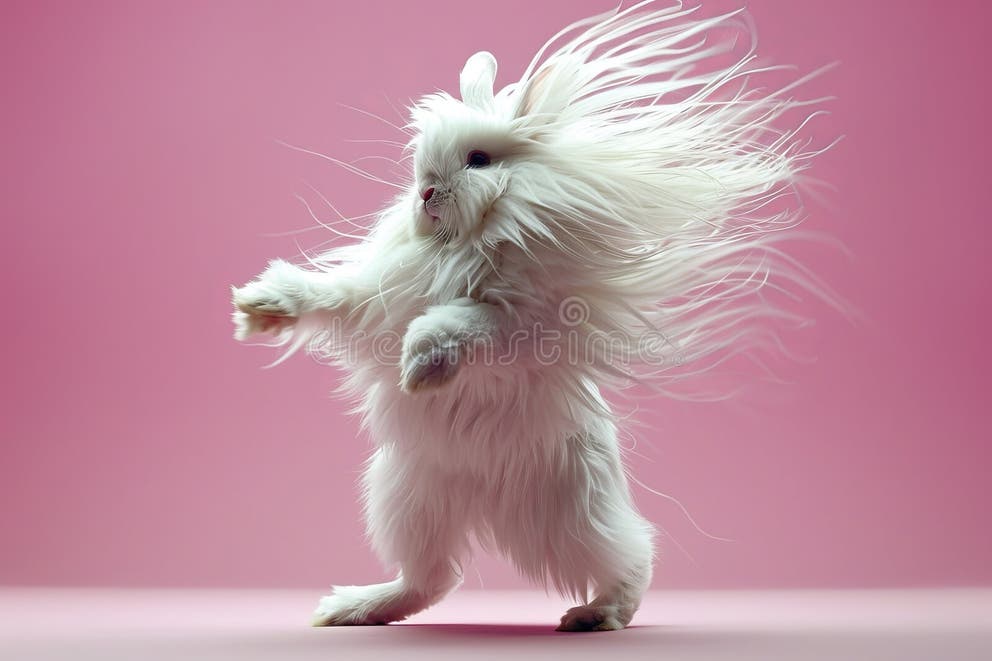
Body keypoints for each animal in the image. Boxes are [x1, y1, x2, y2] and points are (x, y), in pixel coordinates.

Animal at [232, 1, 830, 631]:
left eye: (477, 159)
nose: (426, 193)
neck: (464, 243)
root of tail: (485, 505)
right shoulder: (376, 301)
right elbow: (327, 298)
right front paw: (257, 310)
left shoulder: (522, 322)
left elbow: (463, 324)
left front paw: (419, 369)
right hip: (408, 497)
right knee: (431, 579)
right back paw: (350, 608)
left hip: (575, 515)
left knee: (633, 556)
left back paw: (594, 616)